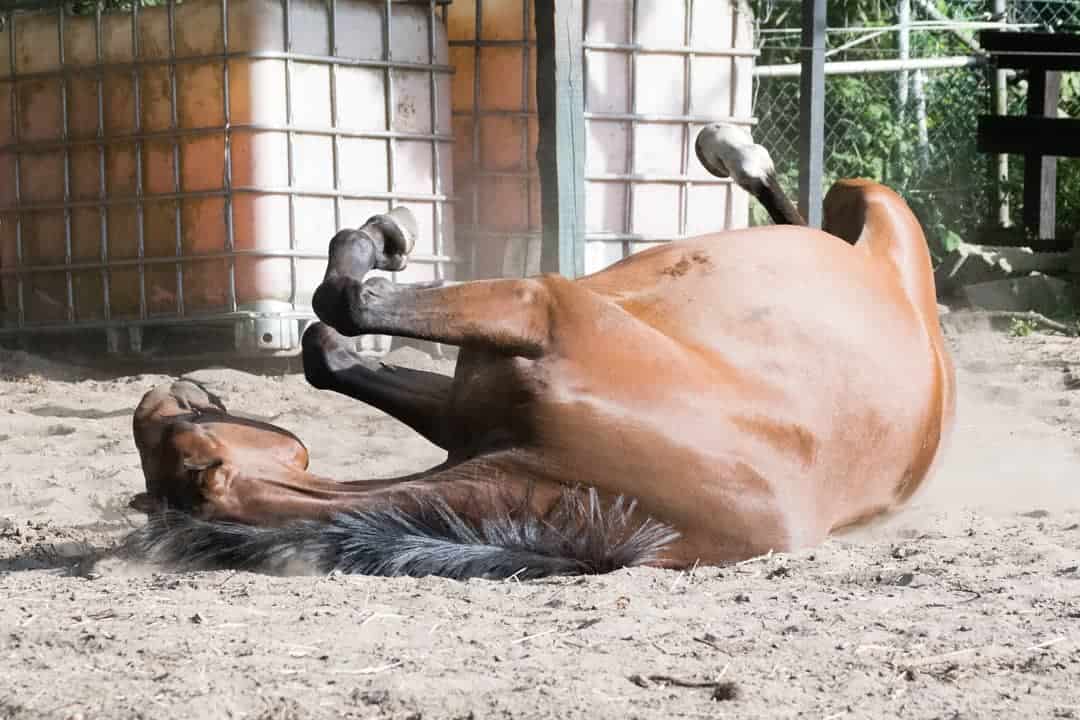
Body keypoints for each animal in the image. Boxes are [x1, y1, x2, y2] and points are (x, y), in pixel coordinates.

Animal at [123, 123, 955, 579]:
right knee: (801, 210)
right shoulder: (479, 390)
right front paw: (380, 243)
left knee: (804, 204)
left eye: (175, 434)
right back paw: (733, 150)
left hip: (870, 199)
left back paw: (733, 149)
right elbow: (332, 339)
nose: (162, 394)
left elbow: (338, 317)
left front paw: (383, 238)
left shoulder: (534, 310)